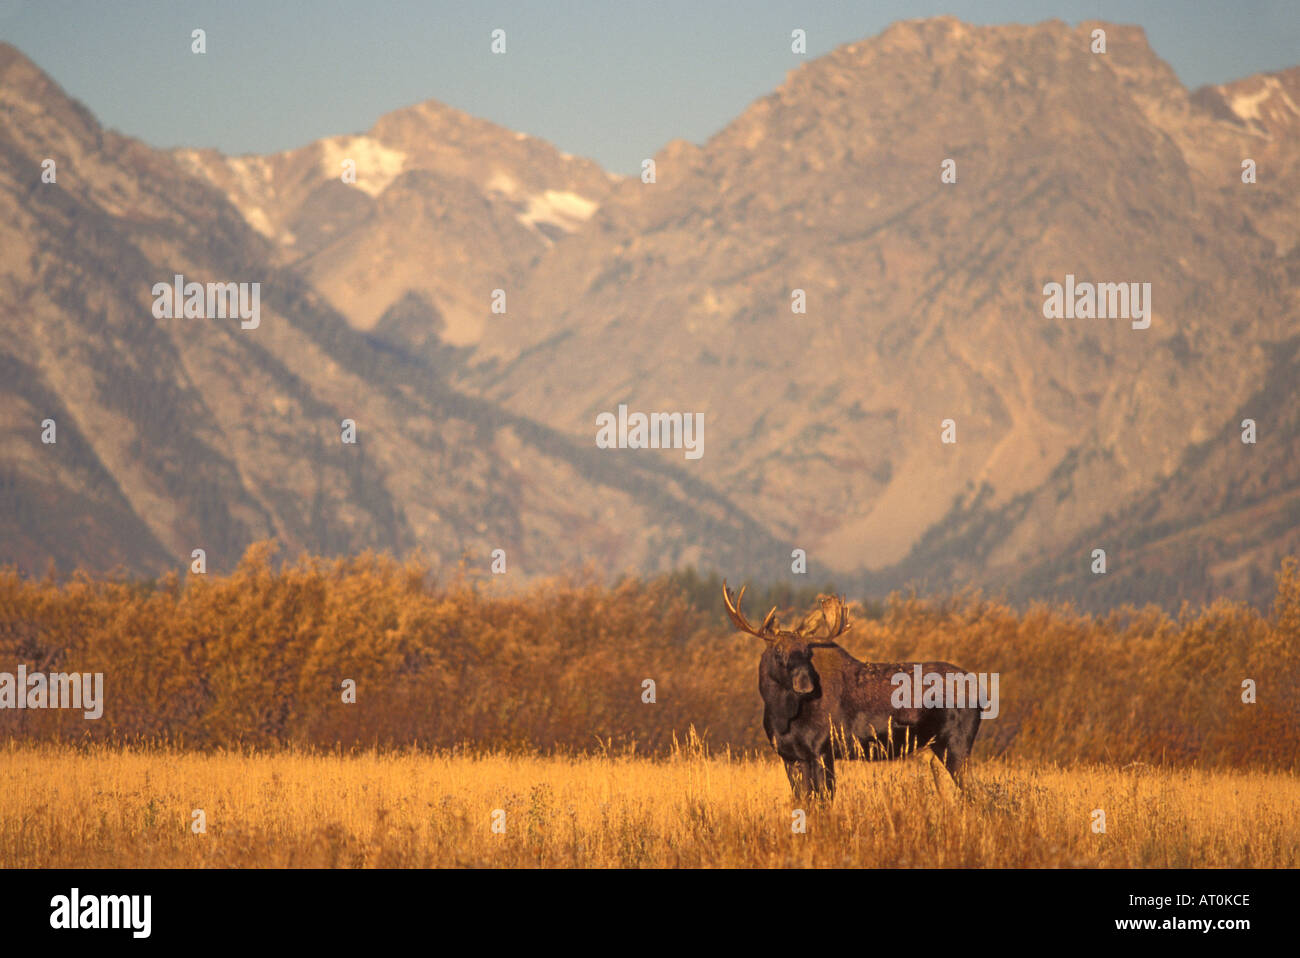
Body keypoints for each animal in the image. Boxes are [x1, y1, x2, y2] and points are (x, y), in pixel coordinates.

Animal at [722, 581, 981, 799]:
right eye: (777, 650)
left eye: (807, 651)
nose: (805, 684)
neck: (781, 716)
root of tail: (983, 694)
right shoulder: (789, 756)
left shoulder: (821, 750)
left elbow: (824, 800)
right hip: (936, 750)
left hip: (956, 745)